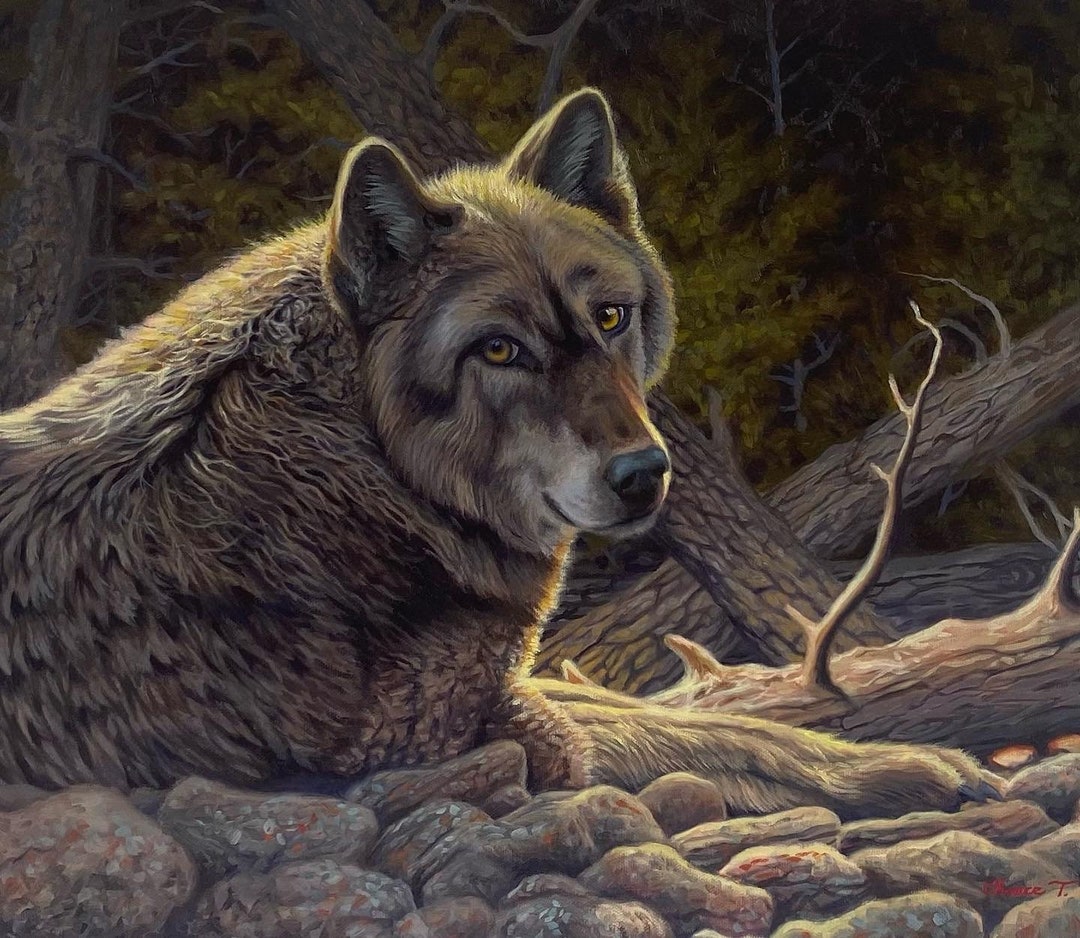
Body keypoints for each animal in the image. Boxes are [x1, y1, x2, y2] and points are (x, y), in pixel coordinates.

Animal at [0, 88, 995, 818]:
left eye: (610, 317)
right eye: (500, 350)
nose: (645, 477)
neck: (355, 472)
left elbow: (684, 715)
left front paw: (903, 756)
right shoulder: (445, 739)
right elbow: (685, 733)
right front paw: (899, 770)